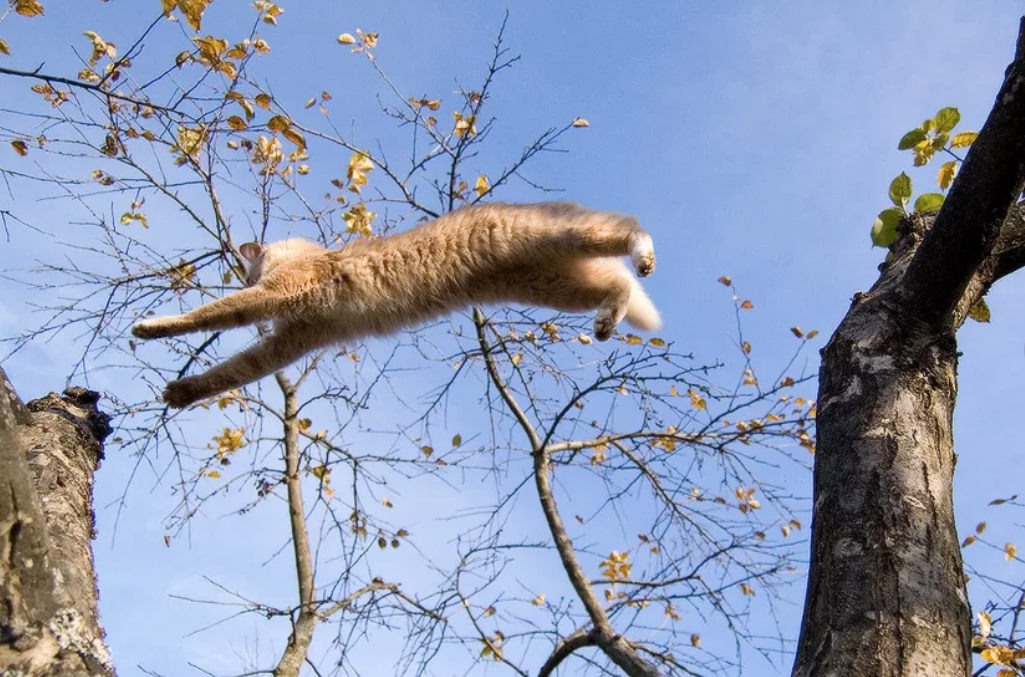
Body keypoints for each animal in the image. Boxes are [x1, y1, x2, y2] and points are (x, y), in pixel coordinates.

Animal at [132, 201, 660, 408]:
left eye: (245, 273)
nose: (245, 274)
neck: (309, 253)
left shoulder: (277, 294)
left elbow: (208, 314)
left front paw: (150, 326)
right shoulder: (290, 342)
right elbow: (232, 373)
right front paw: (183, 393)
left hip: (562, 236)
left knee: (627, 228)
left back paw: (644, 253)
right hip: (552, 286)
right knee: (617, 285)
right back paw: (607, 321)